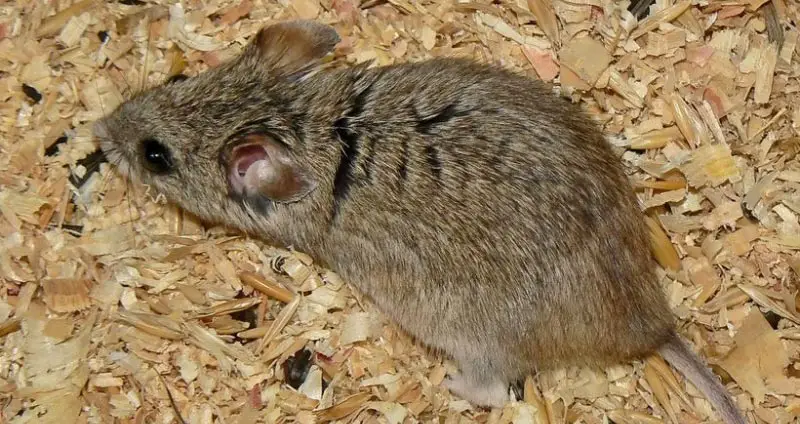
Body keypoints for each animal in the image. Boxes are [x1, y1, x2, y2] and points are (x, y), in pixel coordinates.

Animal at [93, 19, 746, 423]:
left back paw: (450, 386)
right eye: (177, 79)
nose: (98, 129)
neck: (311, 128)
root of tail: (652, 329)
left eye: (155, 156)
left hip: (473, 336)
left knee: (493, 391)